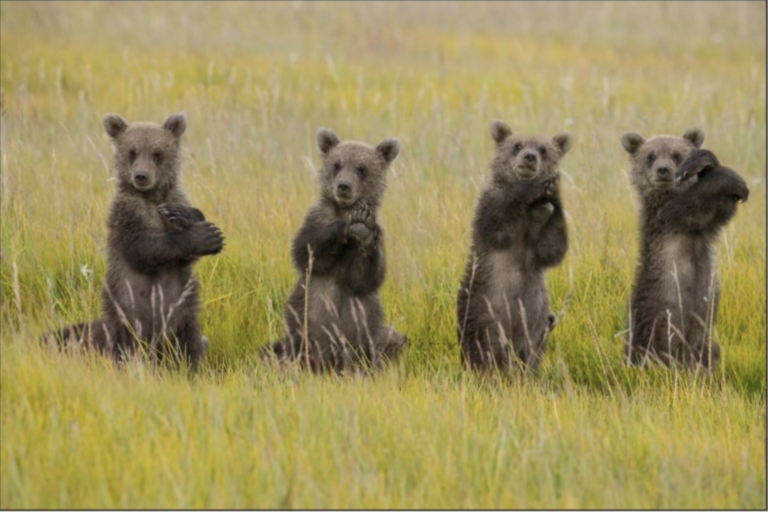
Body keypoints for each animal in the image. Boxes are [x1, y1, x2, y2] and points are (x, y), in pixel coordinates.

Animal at [47, 113, 224, 369]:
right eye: (132, 151)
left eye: (157, 152)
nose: (141, 176)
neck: (151, 197)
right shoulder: (127, 215)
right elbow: (143, 249)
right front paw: (202, 235)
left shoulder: (175, 197)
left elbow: (186, 245)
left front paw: (192, 220)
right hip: (123, 314)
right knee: (124, 345)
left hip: (185, 312)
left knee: (188, 342)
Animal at [260, 128, 407, 373]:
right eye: (337, 164)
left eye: (361, 168)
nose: (343, 186)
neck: (343, 209)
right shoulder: (315, 221)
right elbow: (308, 251)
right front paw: (350, 224)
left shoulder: (377, 238)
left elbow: (366, 277)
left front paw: (362, 226)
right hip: (301, 324)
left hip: (368, 331)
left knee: (388, 340)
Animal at [457, 120, 571, 372]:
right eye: (517, 145)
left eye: (543, 149)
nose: (529, 156)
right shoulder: (490, 210)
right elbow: (499, 227)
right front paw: (537, 186)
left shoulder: (539, 245)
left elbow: (552, 248)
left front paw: (551, 193)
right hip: (485, 314)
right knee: (487, 347)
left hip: (534, 324)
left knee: (533, 349)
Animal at [621, 128, 749, 369]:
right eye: (651, 155)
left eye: (676, 154)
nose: (663, 170)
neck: (669, 191)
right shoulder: (667, 216)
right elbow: (699, 203)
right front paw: (727, 176)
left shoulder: (701, 226)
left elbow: (720, 208)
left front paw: (702, 165)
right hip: (652, 322)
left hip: (703, 341)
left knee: (710, 352)